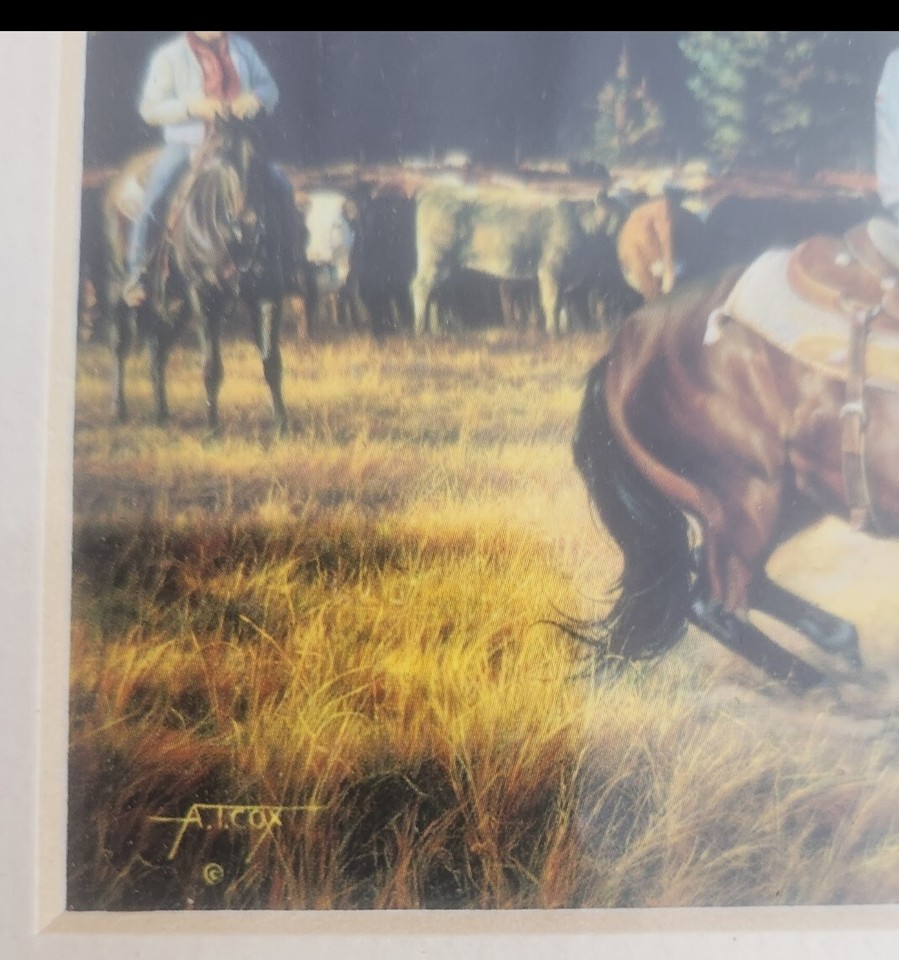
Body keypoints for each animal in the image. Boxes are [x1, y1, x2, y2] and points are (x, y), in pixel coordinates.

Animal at [102, 116, 309, 436]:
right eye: (222, 154)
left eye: (262, 154)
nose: (249, 224)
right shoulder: (204, 296)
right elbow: (211, 366)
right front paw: (211, 430)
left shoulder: (268, 294)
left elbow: (271, 362)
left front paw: (281, 427)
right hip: (117, 285)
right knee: (119, 343)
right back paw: (118, 409)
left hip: (179, 303)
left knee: (158, 346)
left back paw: (161, 414)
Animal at [570, 255, 899, 692]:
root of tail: (616, 360)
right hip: (751, 498)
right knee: (712, 606)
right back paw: (816, 683)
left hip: (793, 497)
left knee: (720, 576)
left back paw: (836, 644)